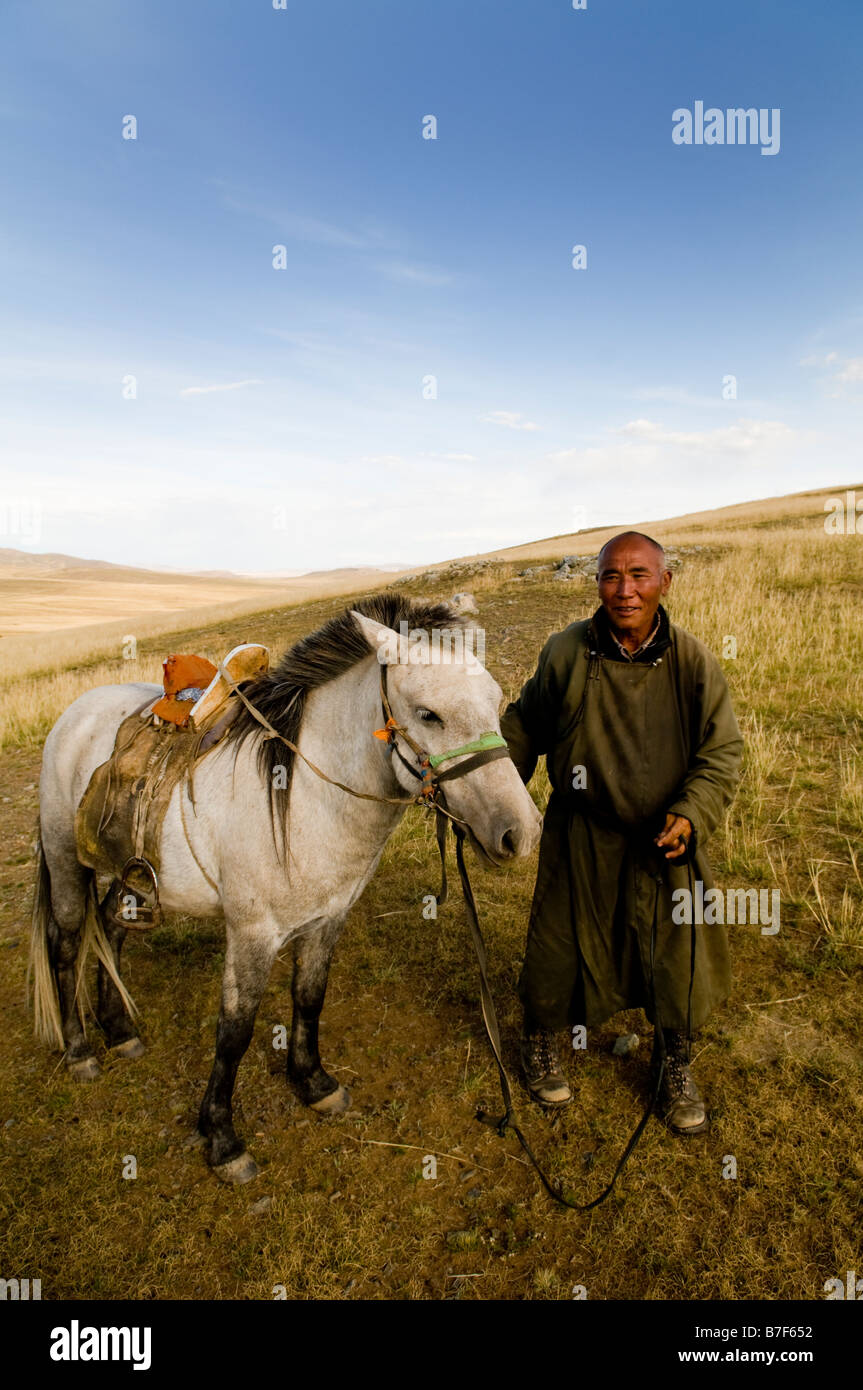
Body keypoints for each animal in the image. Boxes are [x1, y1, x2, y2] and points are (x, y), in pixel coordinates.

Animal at [29, 594, 542, 1182]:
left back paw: (120, 1032)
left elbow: (309, 997)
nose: (519, 832)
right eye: (428, 714)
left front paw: (313, 1083)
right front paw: (222, 1139)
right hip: (66, 859)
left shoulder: (327, 918)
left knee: (112, 931)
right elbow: (234, 1032)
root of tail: (74, 714)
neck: (304, 796)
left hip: (130, 876)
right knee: (67, 942)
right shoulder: (252, 935)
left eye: (495, 701)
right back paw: (80, 1051)